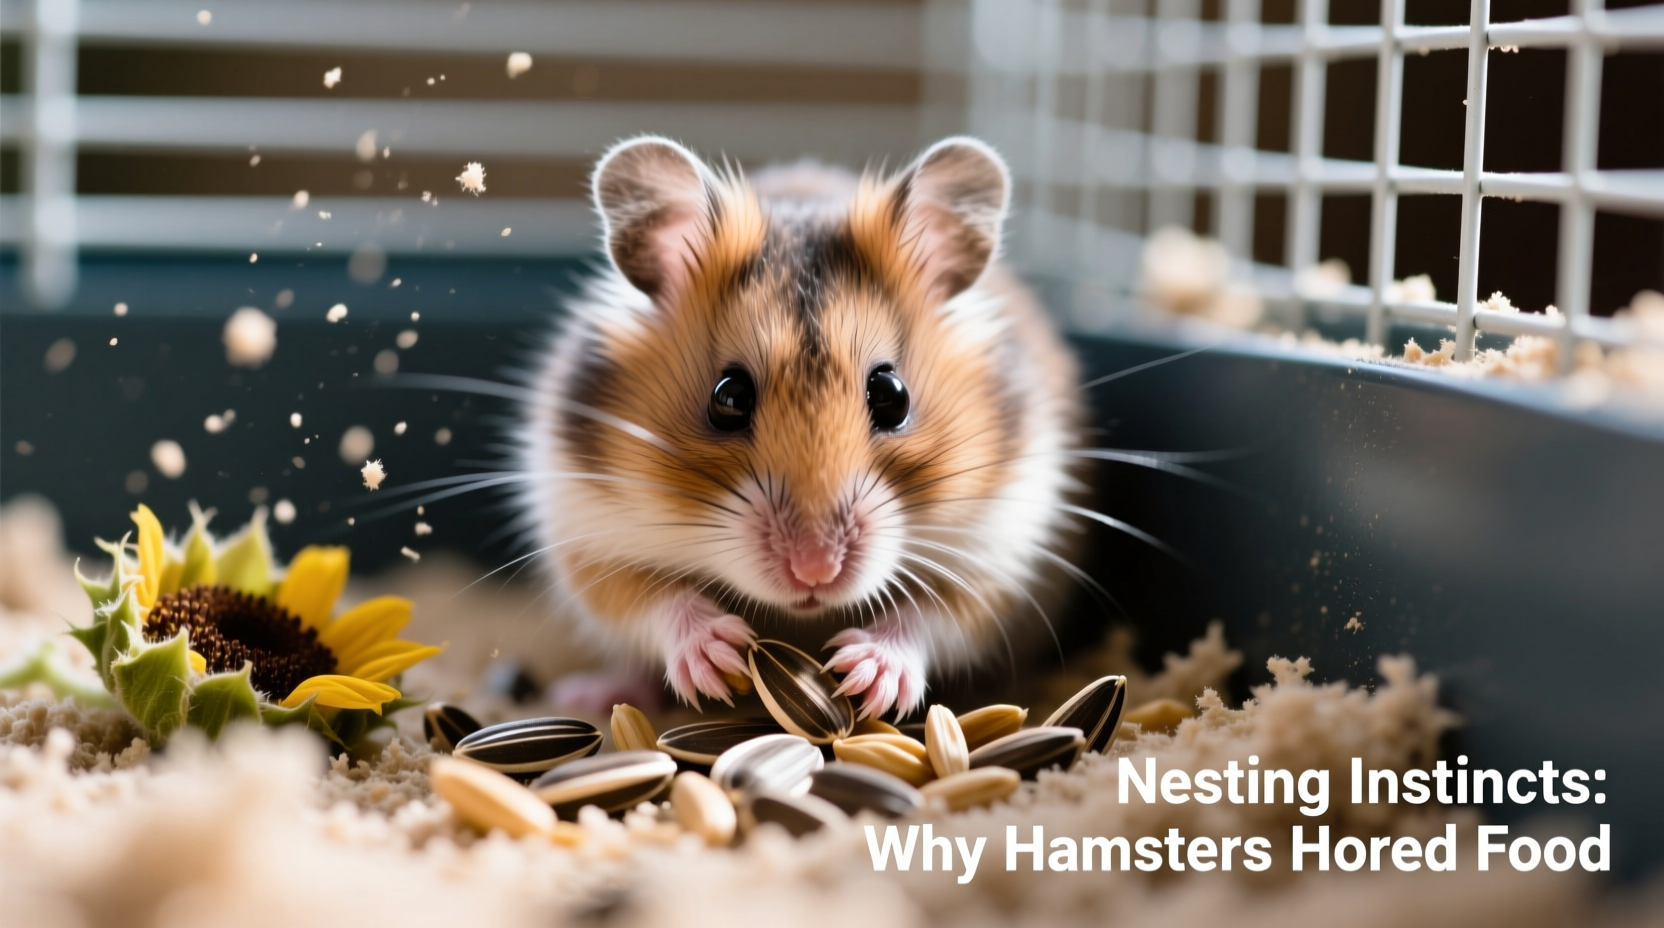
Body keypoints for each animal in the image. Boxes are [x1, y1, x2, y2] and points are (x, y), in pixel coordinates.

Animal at [517, 135, 1082, 720]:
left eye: (892, 396)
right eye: (728, 398)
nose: (815, 573)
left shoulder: (1000, 557)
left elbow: (935, 618)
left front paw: (864, 673)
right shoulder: (590, 538)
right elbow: (649, 600)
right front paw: (720, 656)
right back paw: (592, 693)